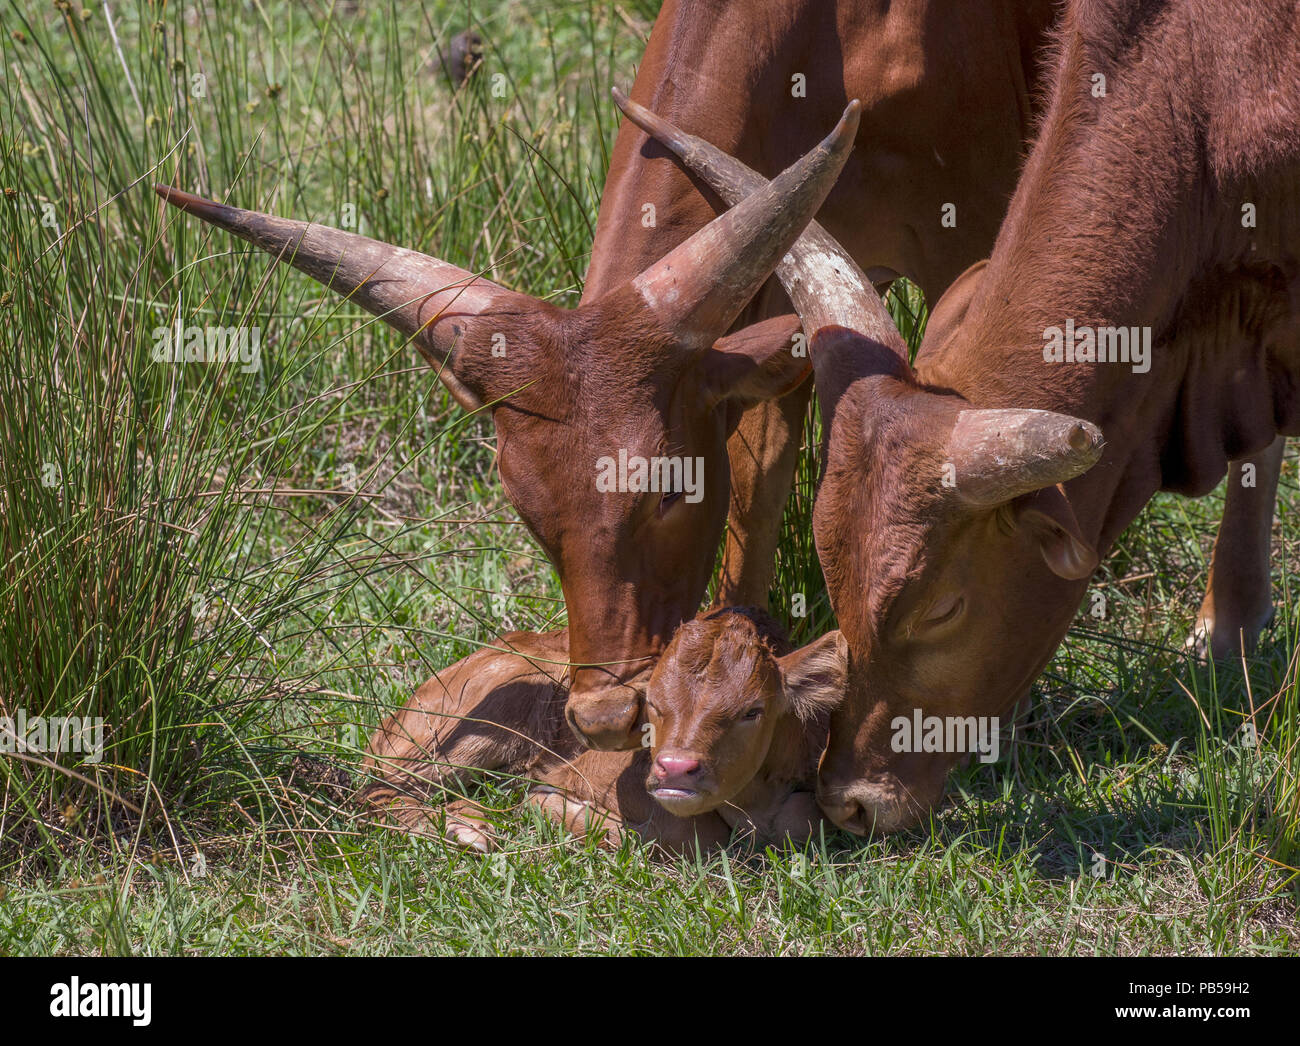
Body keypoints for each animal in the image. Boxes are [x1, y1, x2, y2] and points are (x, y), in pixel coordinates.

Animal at [155, 0, 1061, 754]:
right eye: (529, 515)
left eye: (668, 490)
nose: (602, 715)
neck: (845, 33)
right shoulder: (793, 282)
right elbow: (760, 472)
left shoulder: (977, 220)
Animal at [359, 608, 846, 851]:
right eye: (653, 705)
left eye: (752, 711)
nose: (674, 768)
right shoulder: (565, 780)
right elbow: (691, 835)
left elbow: (804, 818)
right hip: (473, 723)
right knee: (376, 789)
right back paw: (466, 828)